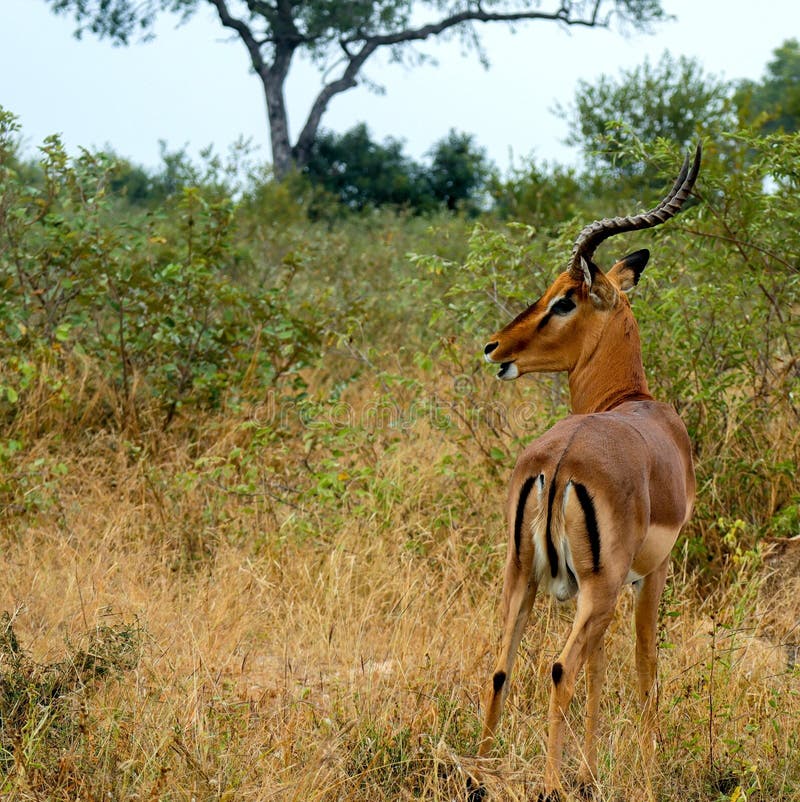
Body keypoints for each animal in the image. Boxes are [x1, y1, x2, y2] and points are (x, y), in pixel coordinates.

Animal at [470, 146, 701, 801]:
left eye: (563, 300)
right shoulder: (650, 573)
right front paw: (647, 772)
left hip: (520, 576)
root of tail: (559, 463)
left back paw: (481, 773)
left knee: (500, 666)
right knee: (559, 668)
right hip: (595, 587)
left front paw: (594, 770)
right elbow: (645, 665)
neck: (632, 402)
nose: (495, 347)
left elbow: (604, 670)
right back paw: (548, 783)